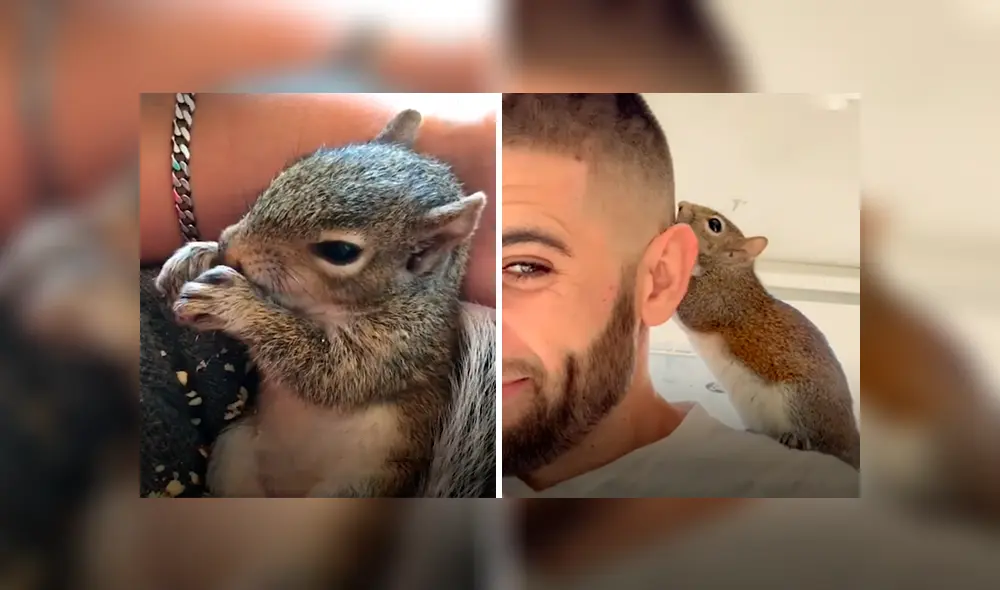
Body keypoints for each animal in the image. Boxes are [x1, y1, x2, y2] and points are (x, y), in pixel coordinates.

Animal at [154, 109, 495, 497]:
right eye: (294, 168)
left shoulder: (395, 348)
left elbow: (327, 370)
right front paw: (197, 254)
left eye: (341, 251)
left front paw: (233, 303)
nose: (230, 246)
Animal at [674, 201, 860, 470]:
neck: (729, 270)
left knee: (821, 443)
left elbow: (690, 308)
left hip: (802, 400)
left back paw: (798, 440)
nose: (681, 205)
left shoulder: (721, 302)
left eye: (715, 225)